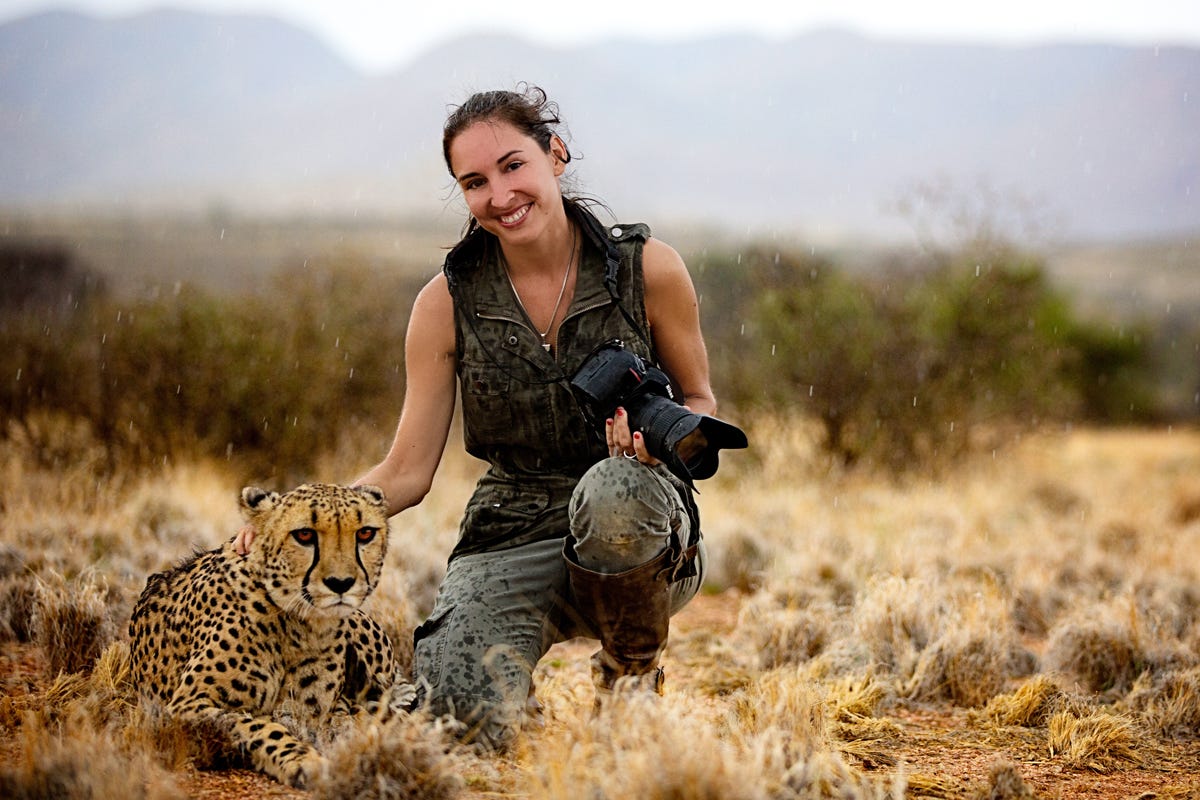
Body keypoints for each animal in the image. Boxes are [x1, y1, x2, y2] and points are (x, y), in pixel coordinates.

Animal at [129, 482, 400, 788]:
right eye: (304, 534)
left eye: (365, 533)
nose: (341, 583)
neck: (298, 624)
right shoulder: (187, 704)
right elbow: (258, 726)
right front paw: (304, 761)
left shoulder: (311, 714)